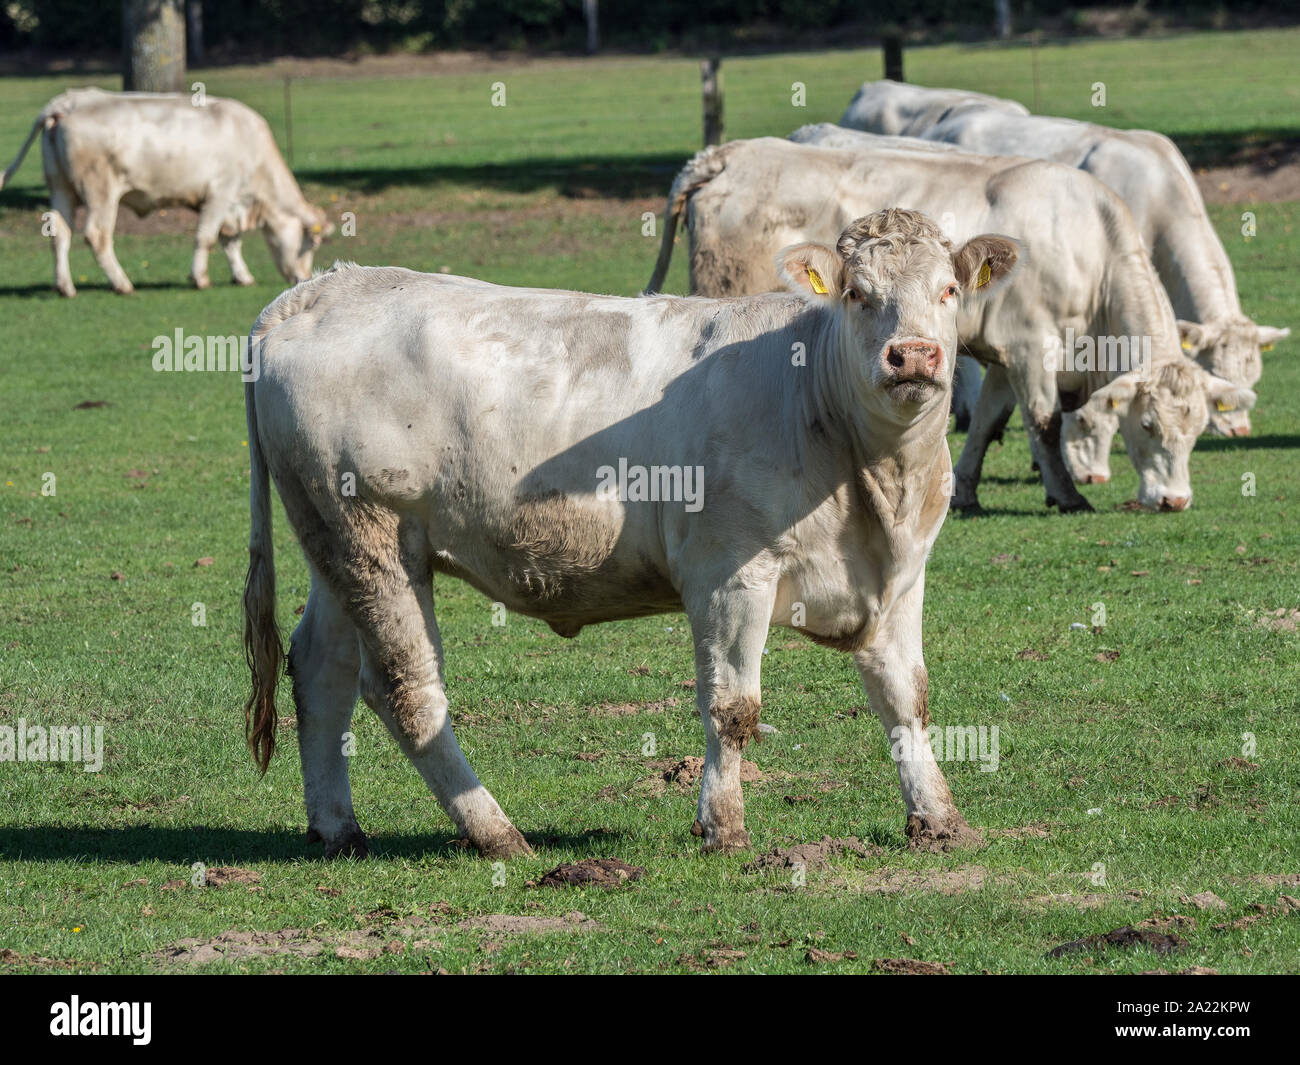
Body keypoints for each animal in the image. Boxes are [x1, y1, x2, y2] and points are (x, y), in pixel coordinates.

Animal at [0, 88, 332, 297]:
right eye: (311, 242)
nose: (305, 278)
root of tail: (69, 100)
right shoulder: (220, 193)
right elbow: (207, 237)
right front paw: (200, 279)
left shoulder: (230, 205)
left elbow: (230, 241)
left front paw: (242, 276)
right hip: (101, 192)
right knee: (97, 236)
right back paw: (122, 284)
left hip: (61, 188)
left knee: (60, 234)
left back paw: (65, 287)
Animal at [242, 211, 1018, 859]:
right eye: (857, 293)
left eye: (949, 288)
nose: (911, 355)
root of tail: (321, 290)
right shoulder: (729, 573)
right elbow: (733, 708)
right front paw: (723, 826)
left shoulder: (901, 577)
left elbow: (906, 698)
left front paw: (939, 819)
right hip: (373, 537)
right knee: (405, 690)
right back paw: (497, 833)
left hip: (333, 540)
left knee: (320, 667)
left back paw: (338, 827)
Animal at [645, 133, 1255, 512]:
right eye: (1147, 425)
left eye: (1197, 429)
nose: (1174, 501)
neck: (1091, 253)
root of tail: (729, 153)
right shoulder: (1033, 346)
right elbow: (1044, 422)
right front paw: (1067, 495)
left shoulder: (1006, 354)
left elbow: (987, 421)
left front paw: (964, 491)